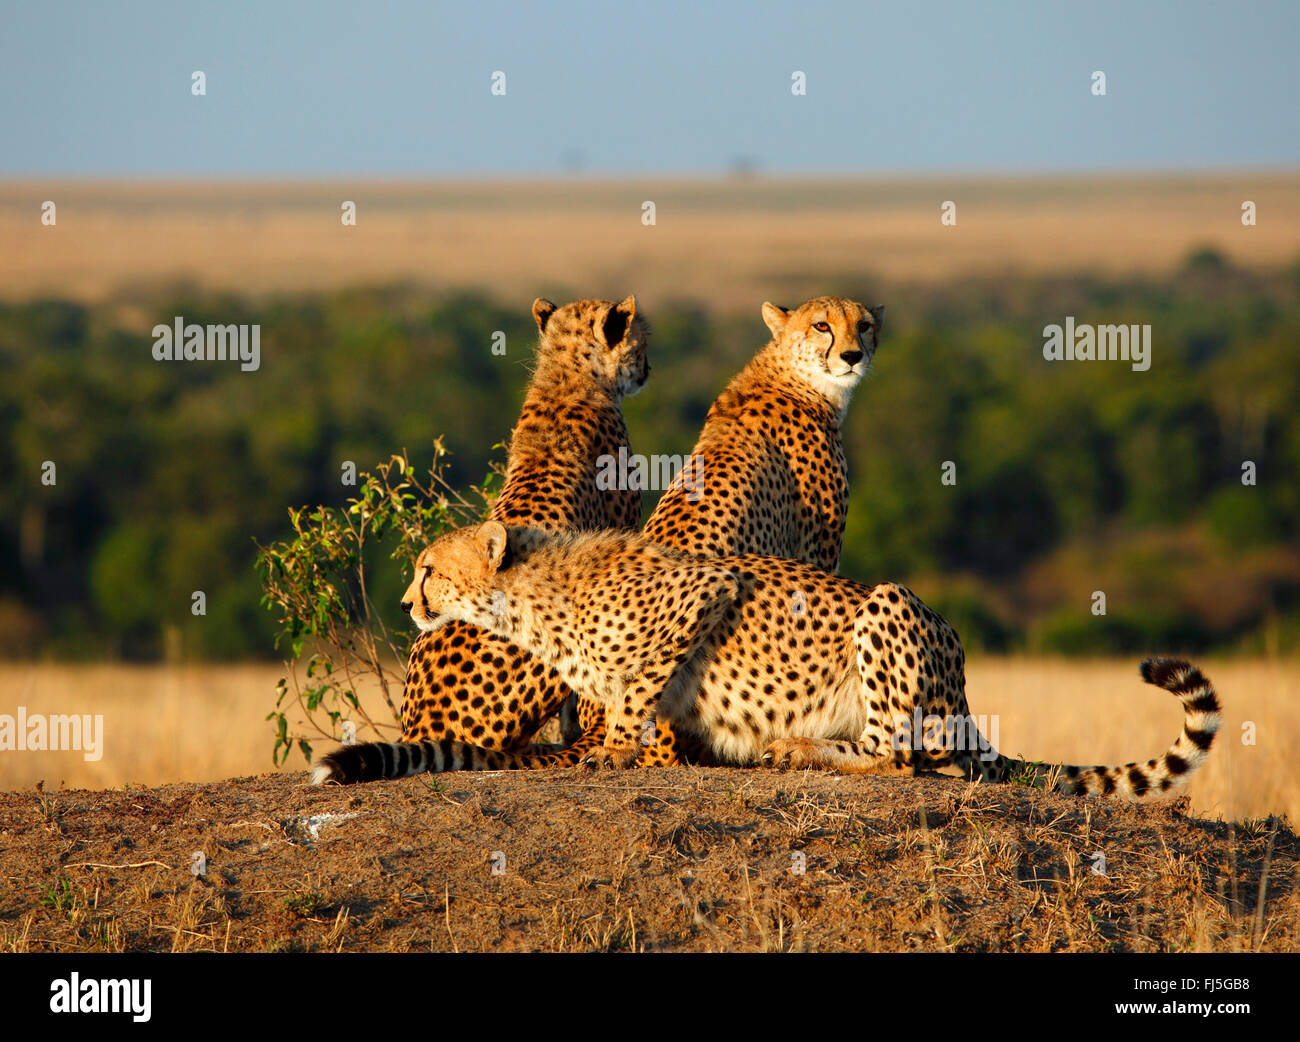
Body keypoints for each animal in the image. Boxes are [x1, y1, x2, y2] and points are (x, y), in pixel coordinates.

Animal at [314, 522, 1221, 803]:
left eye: (430, 567)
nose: (408, 602)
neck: (528, 594)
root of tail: (965, 688)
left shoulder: (705, 589)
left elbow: (636, 697)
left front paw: (616, 752)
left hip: (886, 608)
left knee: (905, 761)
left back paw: (794, 749)